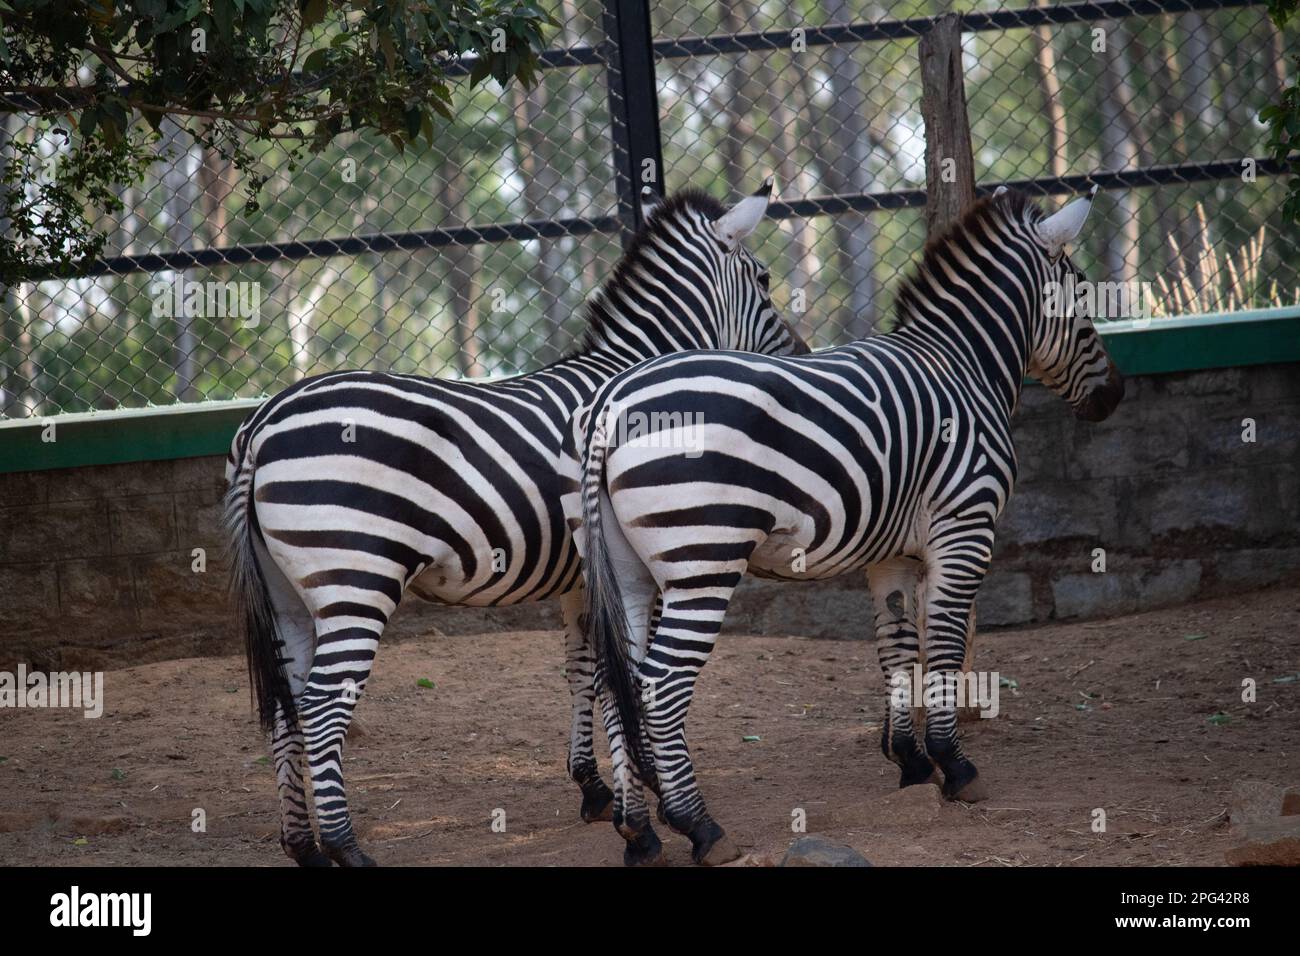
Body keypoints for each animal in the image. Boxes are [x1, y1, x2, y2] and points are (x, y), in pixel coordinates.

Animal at [224, 181, 808, 866]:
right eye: (765, 279)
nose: (802, 359)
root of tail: (262, 423)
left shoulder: (582, 579)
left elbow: (586, 670)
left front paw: (598, 789)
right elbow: (624, 676)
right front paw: (651, 799)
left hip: (286, 591)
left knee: (287, 704)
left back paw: (302, 844)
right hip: (355, 581)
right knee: (319, 707)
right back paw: (347, 847)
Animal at [561, 187, 1124, 866]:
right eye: (1084, 296)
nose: (1116, 396)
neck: (962, 363)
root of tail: (612, 402)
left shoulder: (890, 552)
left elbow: (898, 646)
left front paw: (910, 762)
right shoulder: (964, 528)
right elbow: (943, 644)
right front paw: (955, 766)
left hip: (624, 569)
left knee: (613, 685)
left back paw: (638, 832)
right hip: (703, 560)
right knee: (658, 687)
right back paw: (700, 828)